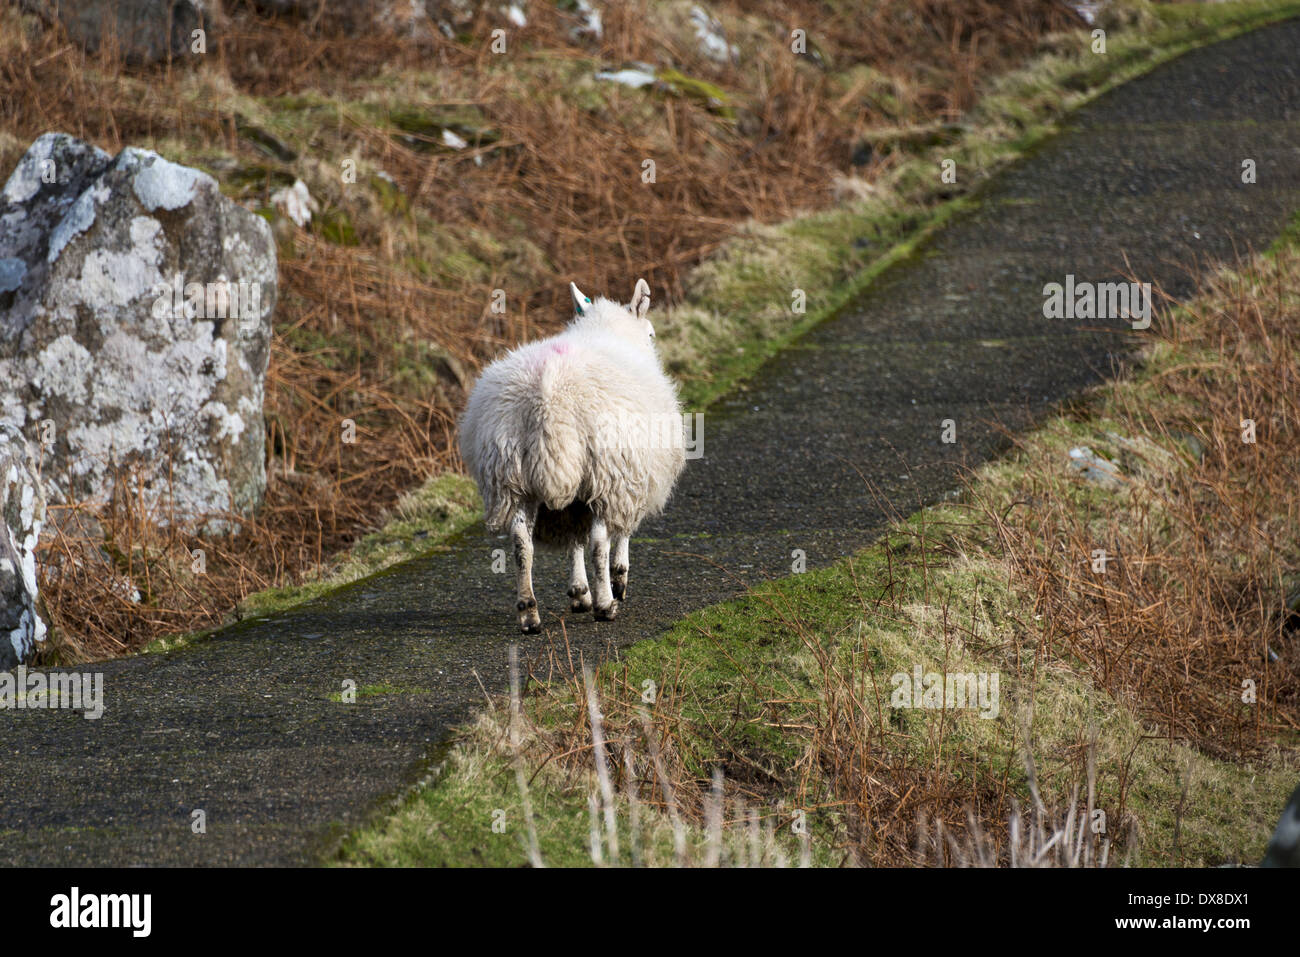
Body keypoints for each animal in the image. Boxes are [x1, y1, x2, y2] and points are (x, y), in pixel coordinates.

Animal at [459, 278, 687, 633]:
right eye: (651, 333)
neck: (603, 330)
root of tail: (548, 397)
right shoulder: (629, 477)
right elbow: (618, 534)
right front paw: (616, 581)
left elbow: (572, 540)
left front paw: (580, 593)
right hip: (605, 473)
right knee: (598, 543)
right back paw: (606, 605)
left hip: (514, 479)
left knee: (522, 544)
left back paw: (529, 612)